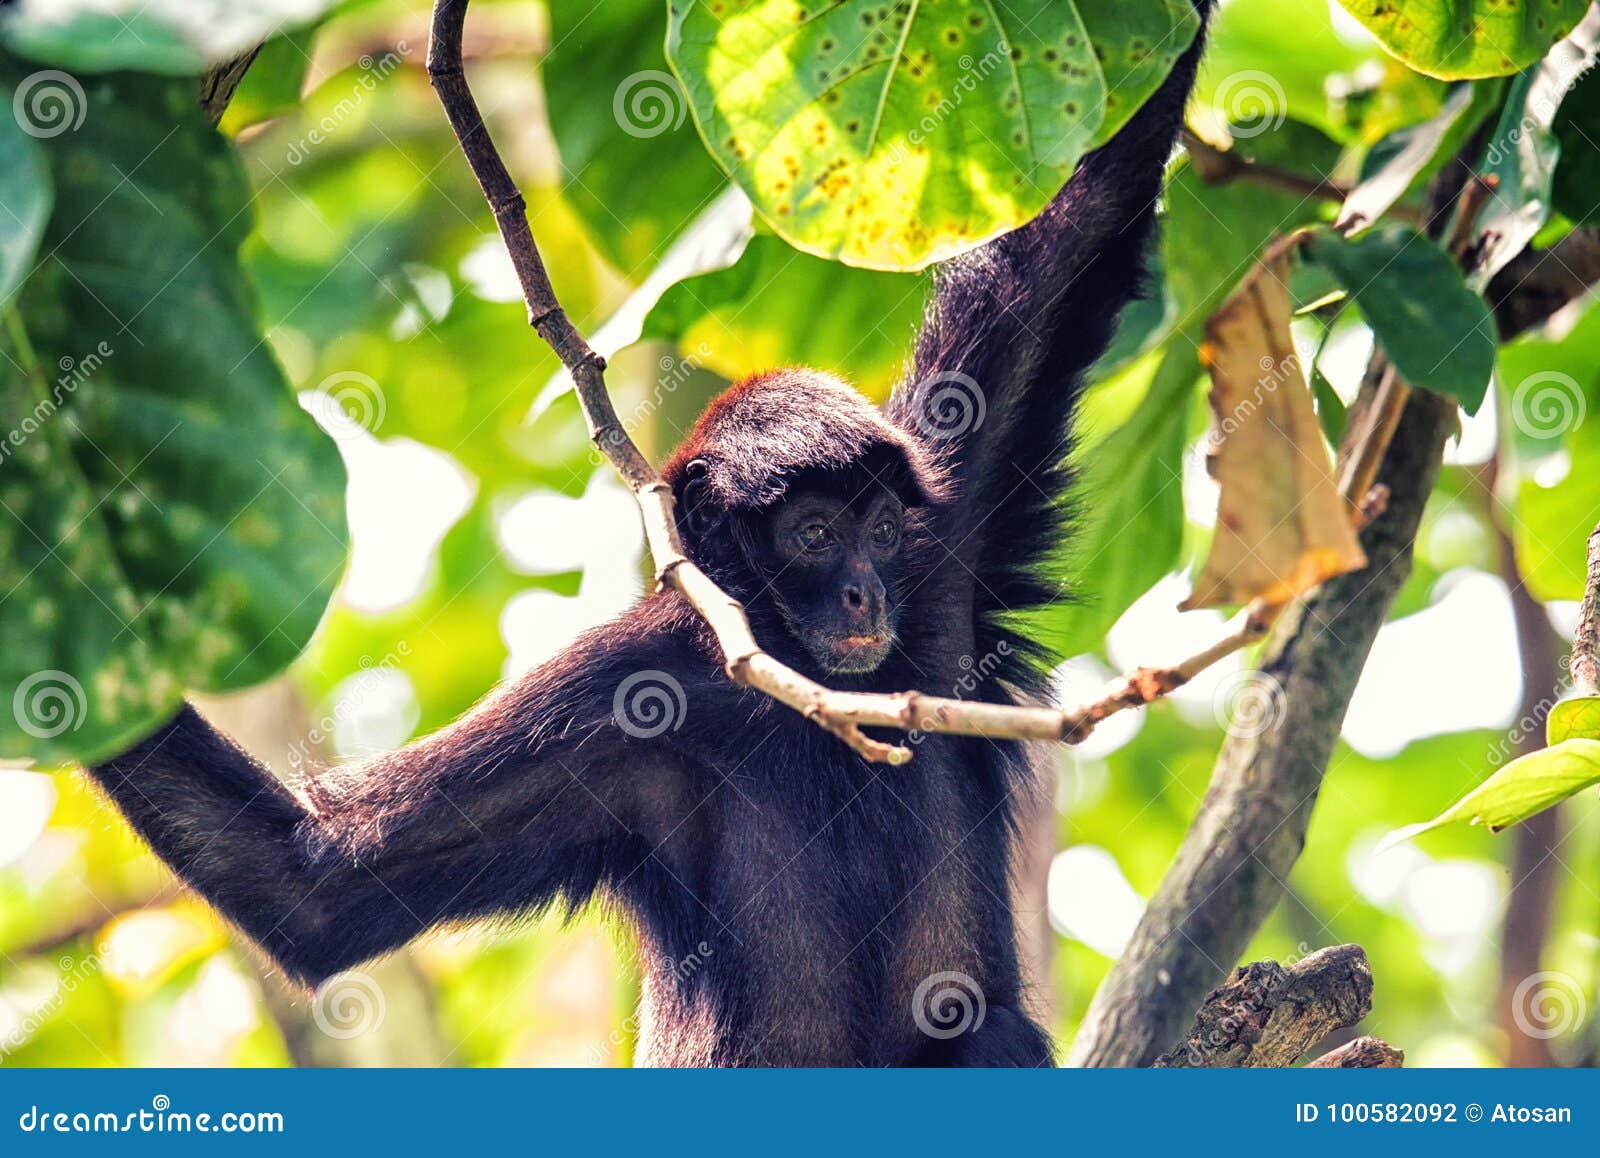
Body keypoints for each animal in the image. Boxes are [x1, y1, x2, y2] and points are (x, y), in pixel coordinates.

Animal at [88, 2, 1215, 1066]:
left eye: (884, 530)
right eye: (813, 535)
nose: (863, 594)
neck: (811, 683)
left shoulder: (947, 546)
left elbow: (1079, 236)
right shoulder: (627, 684)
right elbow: (316, 884)